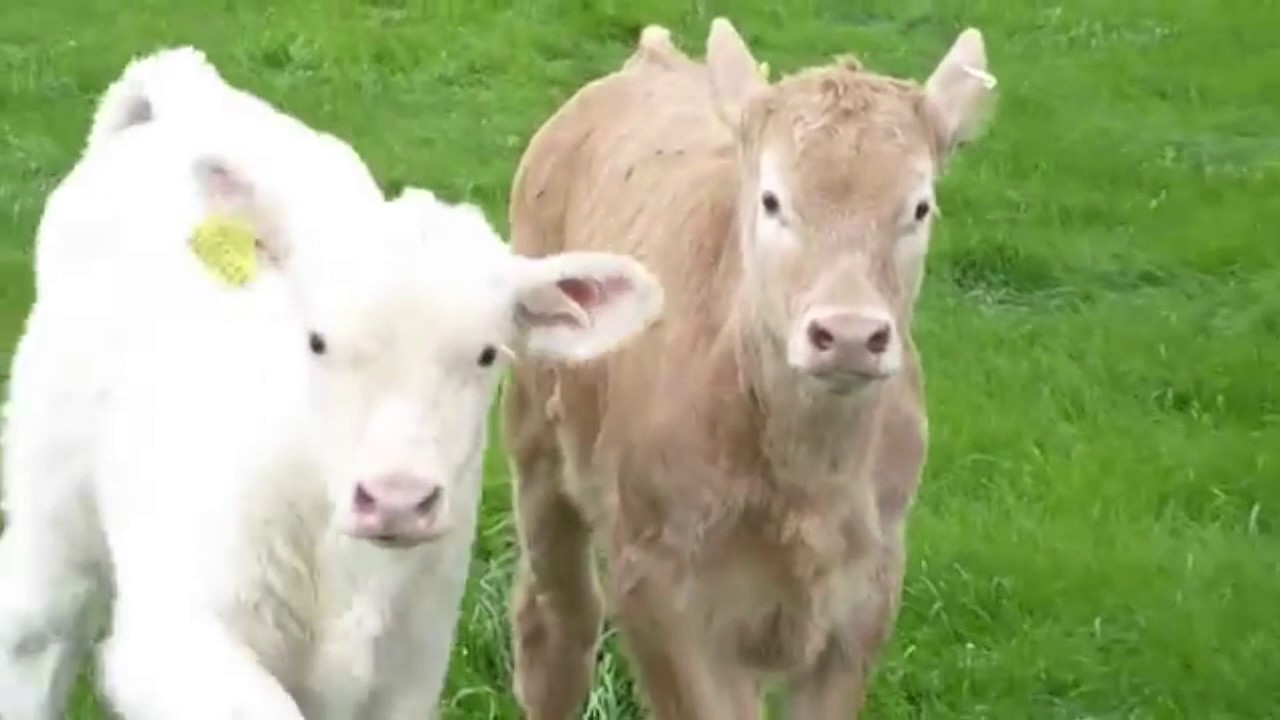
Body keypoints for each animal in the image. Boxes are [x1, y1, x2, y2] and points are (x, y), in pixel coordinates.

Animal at [0, 47, 661, 720]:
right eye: (316, 341)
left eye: (485, 355)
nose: (396, 498)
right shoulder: (177, 638)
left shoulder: (411, 668)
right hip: (51, 509)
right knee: (35, 636)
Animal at [500, 18, 997, 719]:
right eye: (771, 200)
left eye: (920, 207)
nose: (849, 335)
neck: (805, 472)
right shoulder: (661, 591)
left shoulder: (867, 593)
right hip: (537, 443)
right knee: (557, 624)